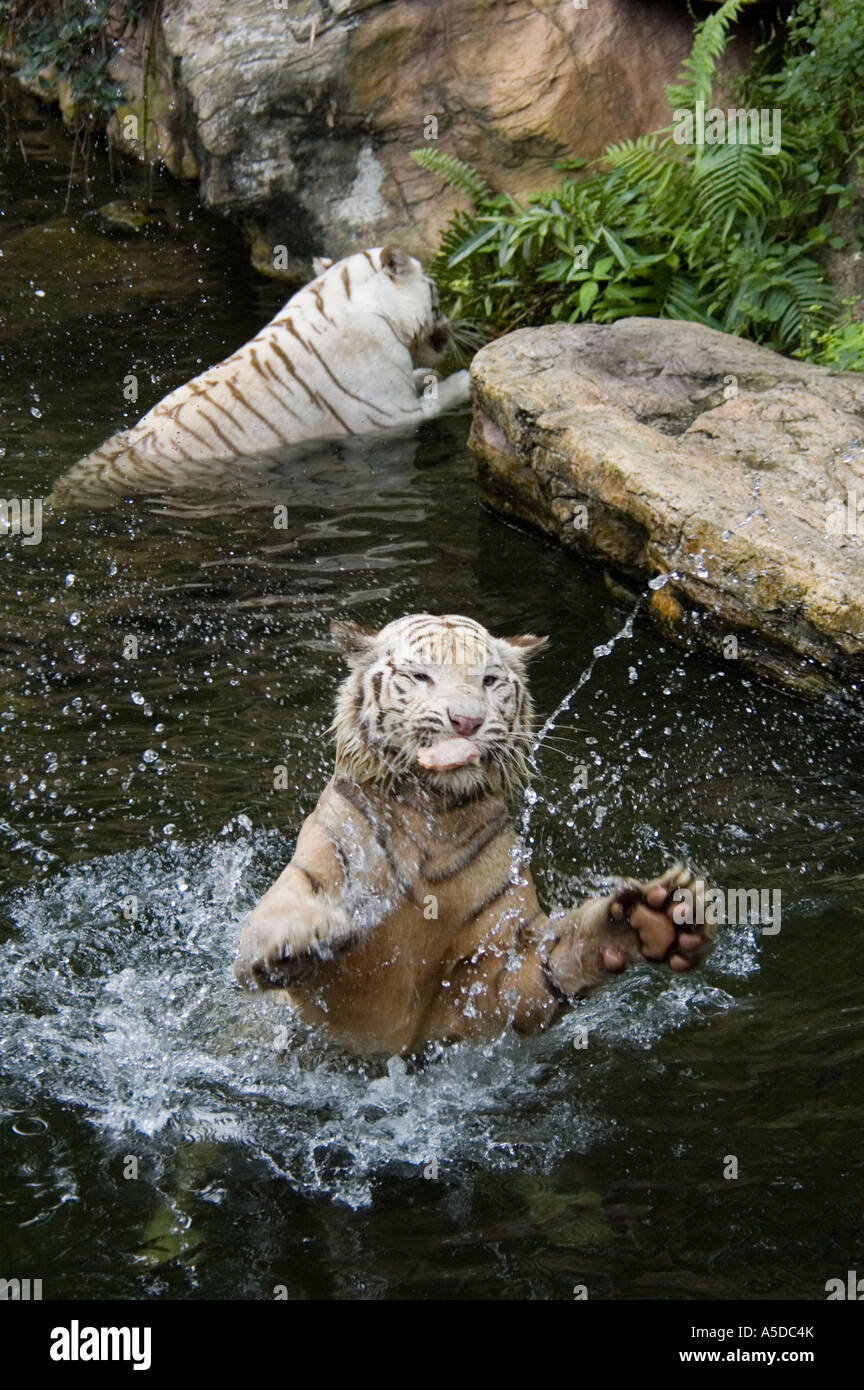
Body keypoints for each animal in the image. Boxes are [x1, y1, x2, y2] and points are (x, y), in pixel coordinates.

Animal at [48, 245, 470, 505]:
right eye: (436, 294)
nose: (450, 327)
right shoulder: (387, 416)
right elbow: (443, 395)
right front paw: (465, 375)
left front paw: (426, 372)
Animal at [234, 612, 713, 1054]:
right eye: (421, 675)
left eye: (489, 680)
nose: (466, 722)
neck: (434, 816)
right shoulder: (316, 867)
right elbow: (272, 919)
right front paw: (298, 937)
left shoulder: (496, 971)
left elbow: (550, 965)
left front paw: (651, 919)